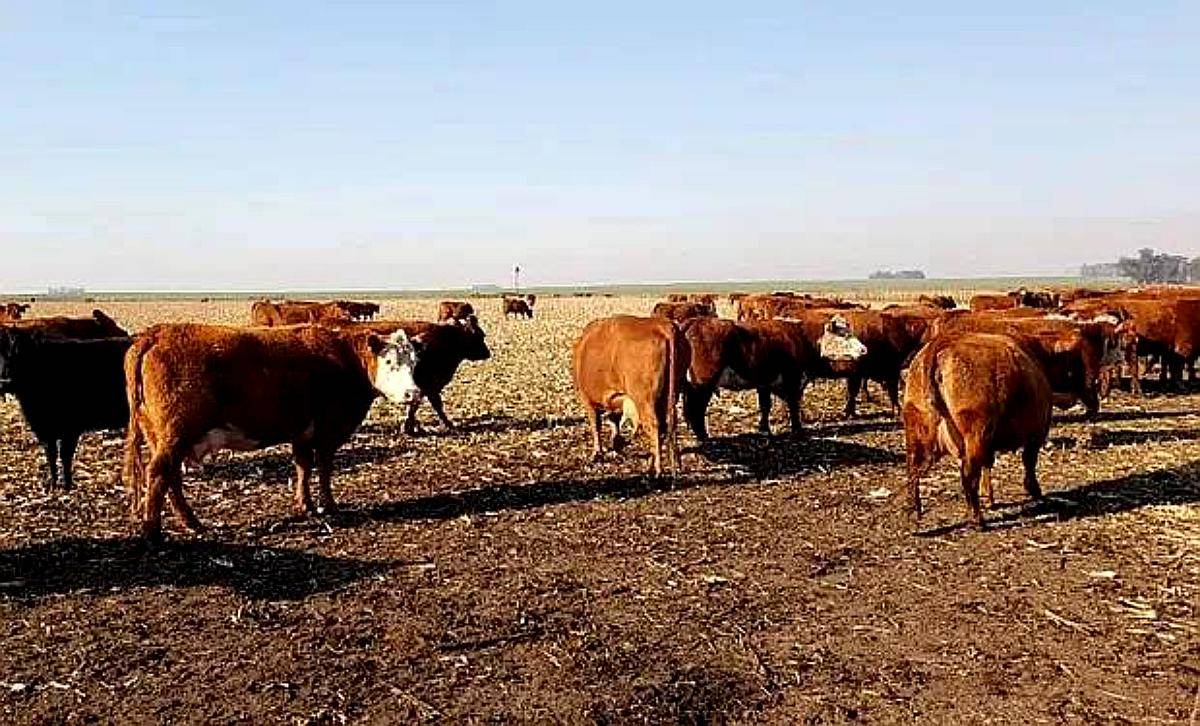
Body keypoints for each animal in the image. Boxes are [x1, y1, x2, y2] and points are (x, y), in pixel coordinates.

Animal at [0, 329, 132, 490]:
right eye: (1, 353)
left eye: (24, 355)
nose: (6, 381)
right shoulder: (44, 429)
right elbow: (51, 455)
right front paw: (53, 484)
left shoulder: (71, 429)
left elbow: (65, 455)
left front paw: (68, 485)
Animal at [122, 324, 423, 543]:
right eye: (389, 361)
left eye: (414, 362)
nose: (413, 393)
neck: (346, 360)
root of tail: (155, 334)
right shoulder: (329, 430)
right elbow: (324, 468)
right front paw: (329, 506)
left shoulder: (302, 432)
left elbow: (303, 466)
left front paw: (306, 505)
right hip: (176, 434)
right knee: (159, 473)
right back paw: (154, 533)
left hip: (163, 436)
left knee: (170, 477)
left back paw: (192, 523)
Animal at [572, 316, 690, 476]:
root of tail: (663, 325)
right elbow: (614, 420)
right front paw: (616, 443)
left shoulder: (588, 400)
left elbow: (596, 426)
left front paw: (597, 453)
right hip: (670, 395)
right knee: (668, 425)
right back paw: (666, 464)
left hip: (644, 400)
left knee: (654, 425)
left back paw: (657, 469)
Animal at [903, 332, 1052, 529]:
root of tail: (940, 344)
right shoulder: (1036, 433)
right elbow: (1029, 461)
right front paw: (1033, 489)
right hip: (975, 435)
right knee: (969, 475)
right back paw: (977, 519)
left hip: (919, 428)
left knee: (913, 471)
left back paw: (914, 514)